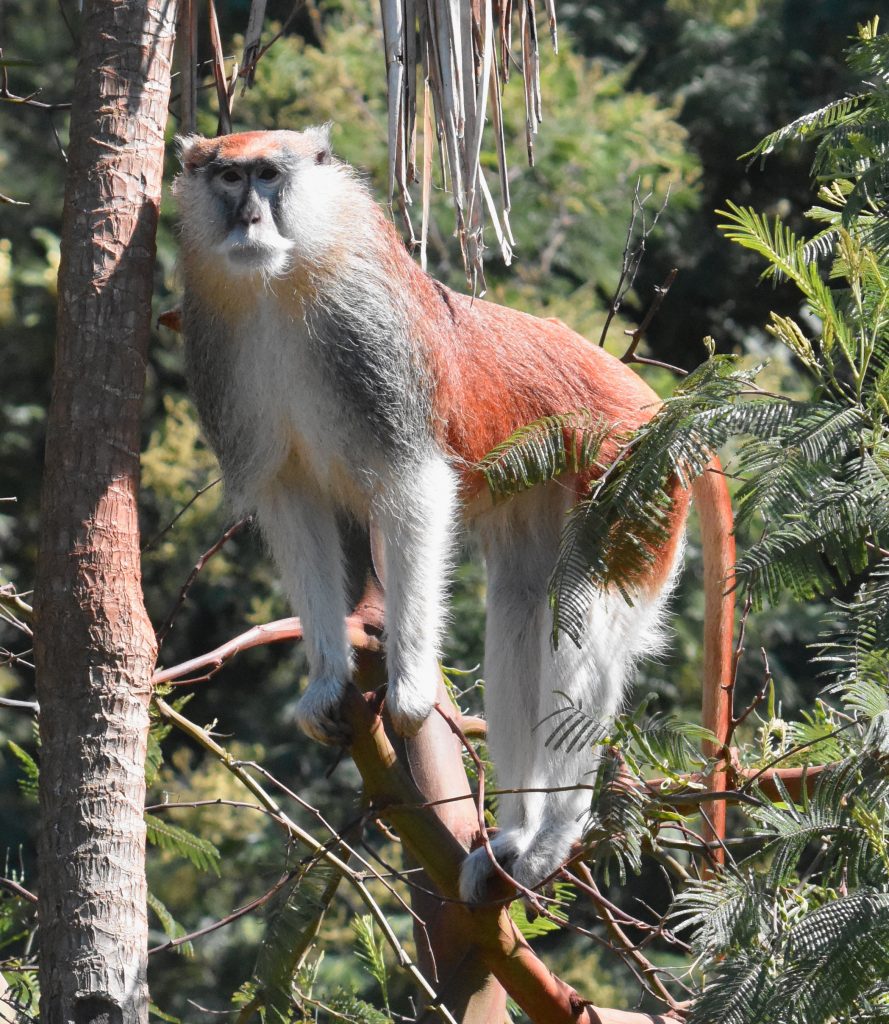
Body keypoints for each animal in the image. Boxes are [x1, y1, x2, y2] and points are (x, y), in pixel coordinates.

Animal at [173, 127, 735, 902]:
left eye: (267, 175)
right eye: (227, 178)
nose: (249, 218)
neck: (281, 284)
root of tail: (651, 407)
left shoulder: (376, 355)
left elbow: (416, 489)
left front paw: (408, 695)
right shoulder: (224, 365)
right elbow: (295, 509)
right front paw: (328, 681)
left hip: (627, 484)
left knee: (586, 619)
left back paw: (555, 834)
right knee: (526, 608)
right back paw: (518, 833)